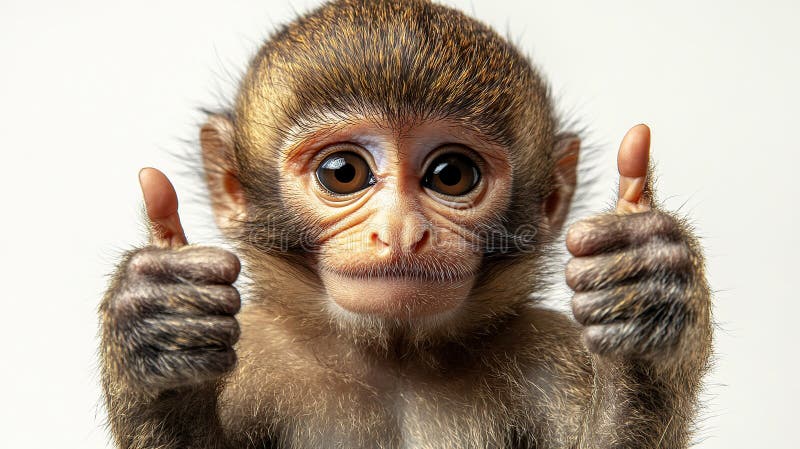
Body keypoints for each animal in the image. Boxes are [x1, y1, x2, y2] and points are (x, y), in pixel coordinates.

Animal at [99, 0, 712, 448]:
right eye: (343, 172)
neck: (395, 359)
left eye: (451, 174)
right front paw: (160, 326)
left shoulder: (551, 354)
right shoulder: (256, 357)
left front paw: (645, 292)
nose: (400, 232)